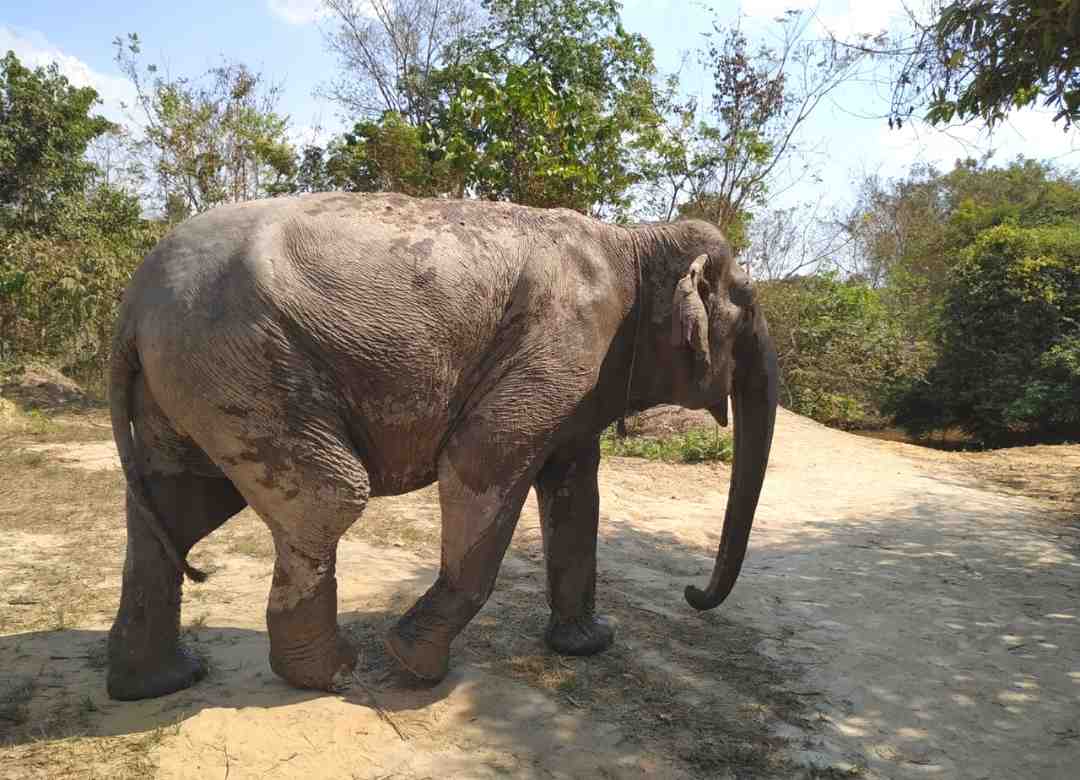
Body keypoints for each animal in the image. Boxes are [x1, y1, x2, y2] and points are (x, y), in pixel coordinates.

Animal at [105, 192, 777, 701]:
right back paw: (332, 674)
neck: (637, 240)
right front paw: (415, 666)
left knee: (179, 504)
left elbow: (574, 490)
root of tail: (132, 302)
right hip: (241, 360)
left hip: (193, 378)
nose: (693, 595)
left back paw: (161, 682)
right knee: (329, 497)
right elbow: (483, 456)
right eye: (747, 310)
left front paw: (588, 645)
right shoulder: (563, 338)